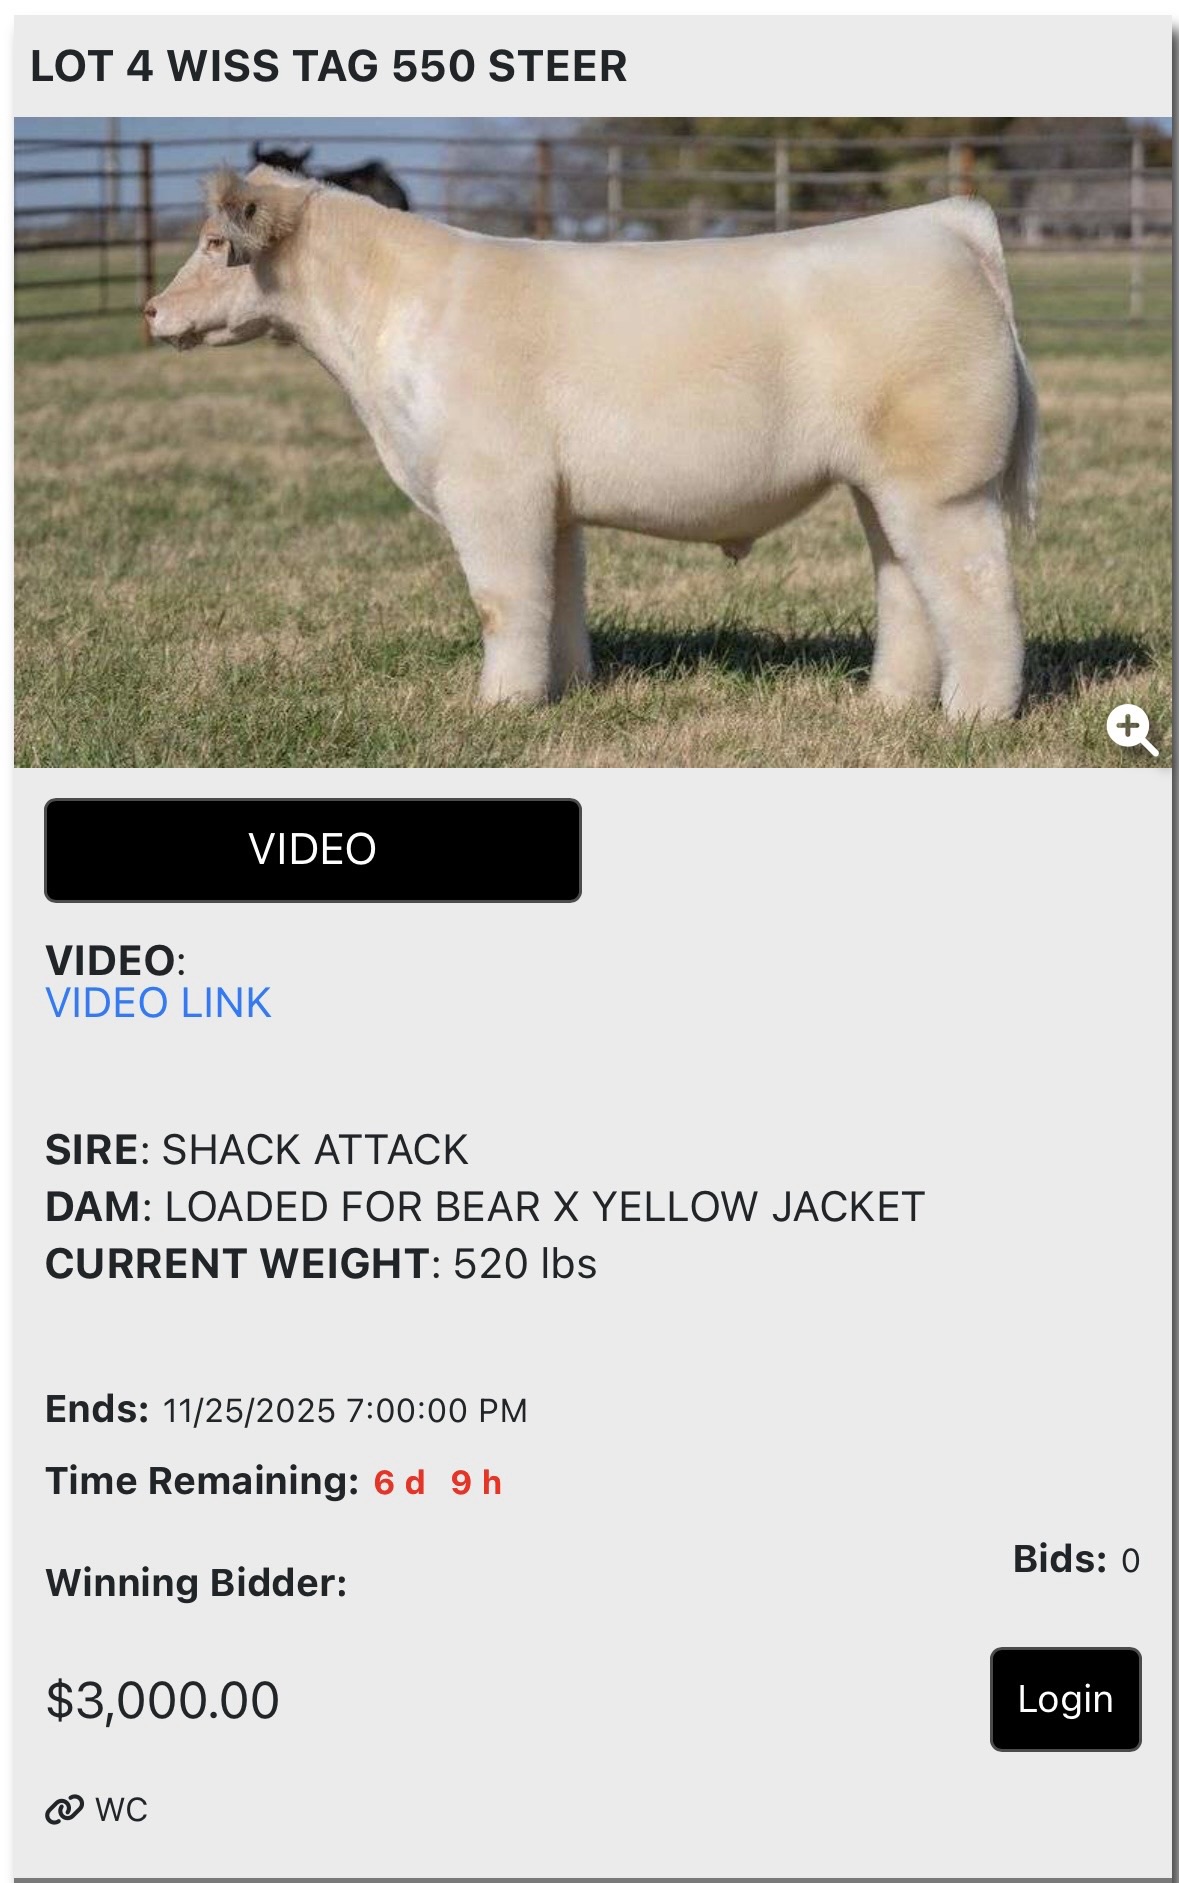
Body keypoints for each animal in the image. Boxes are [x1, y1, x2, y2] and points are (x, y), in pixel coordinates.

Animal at [145, 166, 1037, 718]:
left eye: (219, 244)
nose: (151, 310)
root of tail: (942, 225)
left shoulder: (489, 484)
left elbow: (504, 599)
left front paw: (499, 705)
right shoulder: (550, 500)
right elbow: (558, 596)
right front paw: (562, 689)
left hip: (941, 484)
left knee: (976, 588)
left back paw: (973, 715)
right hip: (880, 487)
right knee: (907, 586)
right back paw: (887, 703)